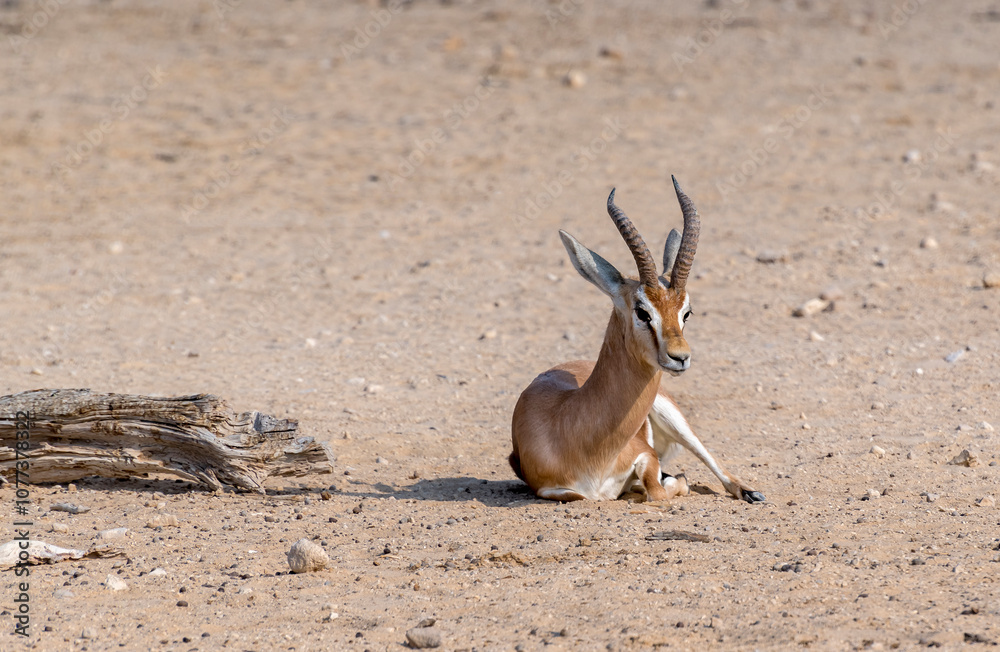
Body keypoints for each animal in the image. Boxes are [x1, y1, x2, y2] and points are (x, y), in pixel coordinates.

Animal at [509, 177, 764, 504]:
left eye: (687, 312)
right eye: (642, 312)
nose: (680, 357)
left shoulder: (646, 454)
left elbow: (660, 488)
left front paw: (666, 481)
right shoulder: (554, 490)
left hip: (671, 413)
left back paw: (750, 492)